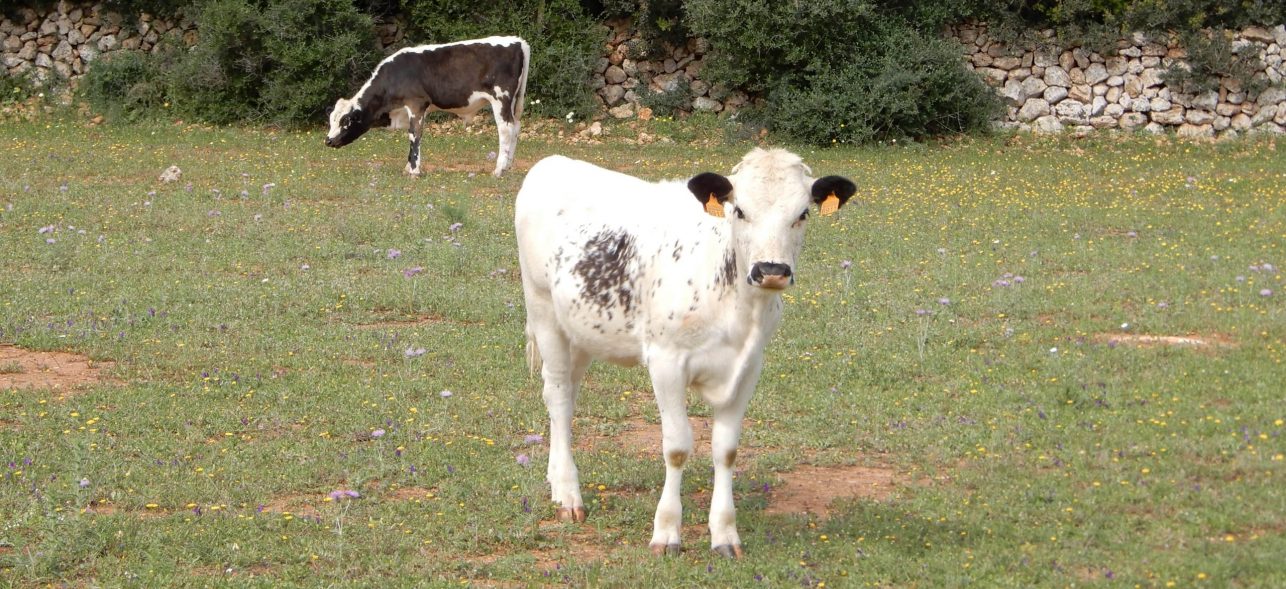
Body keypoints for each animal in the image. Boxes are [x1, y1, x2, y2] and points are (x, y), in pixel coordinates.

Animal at [325, 36, 530, 177]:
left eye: (345, 121)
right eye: (331, 120)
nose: (328, 141)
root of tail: (517, 41)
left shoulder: (416, 104)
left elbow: (414, 134)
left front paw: (414, 170)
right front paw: (408, 167)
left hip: (501, 99)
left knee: (506, 129)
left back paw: (498, 170)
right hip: (513, 102)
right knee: (516, 127)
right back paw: (508, 166)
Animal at [514, 148, 857, 557]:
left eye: (803, 213)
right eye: (739, 210)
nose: (771, 270)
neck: (738, 310)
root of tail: (551, 162)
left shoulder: (749, 366)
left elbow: (726, 450)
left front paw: (725, 534)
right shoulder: (666, 361)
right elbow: (677, 447)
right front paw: (666, 532)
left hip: (581, 329)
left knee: (564, 397)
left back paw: (557, 482)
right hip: (543, 311)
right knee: (559, 396)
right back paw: (569, 495)